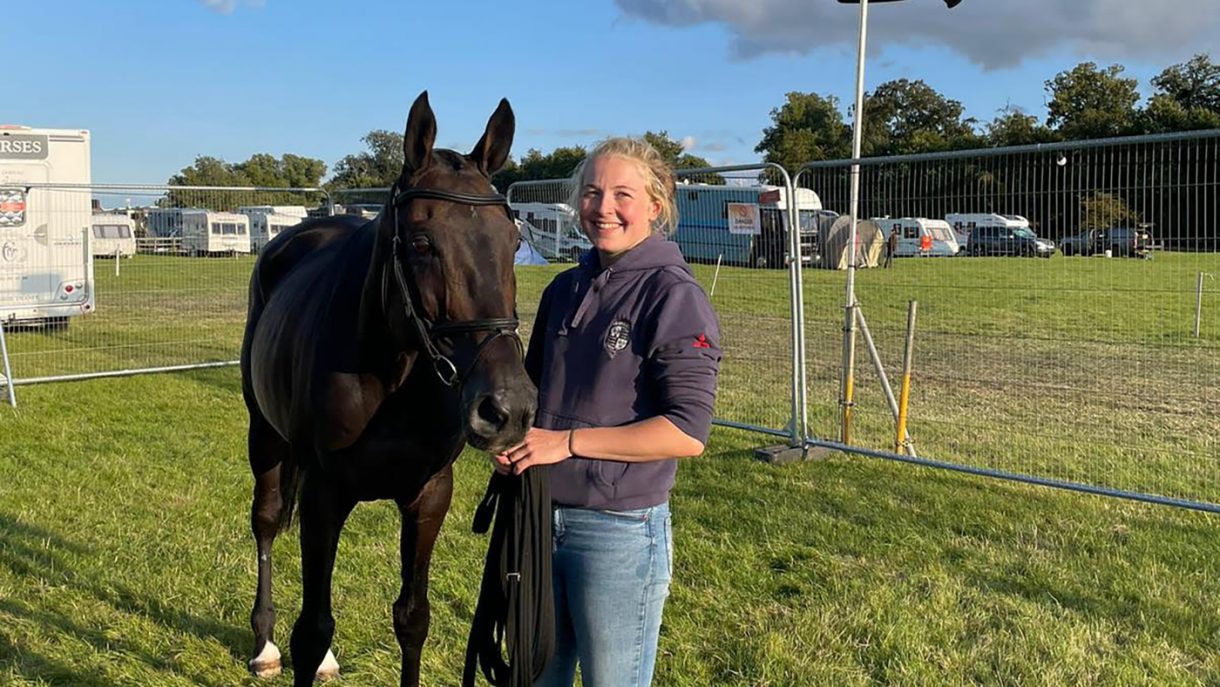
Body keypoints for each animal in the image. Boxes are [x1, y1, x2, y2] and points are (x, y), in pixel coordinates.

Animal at [239, 92, 537, 687]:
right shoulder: (325, 493)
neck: (394, 374)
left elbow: (412, 617)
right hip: (264, 435)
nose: (508, 409)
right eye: (422, 242)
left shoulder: (429, 496)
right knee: (266, 520)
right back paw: (264, 644)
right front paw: (292, 646)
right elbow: (311, 629)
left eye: (514, 241)